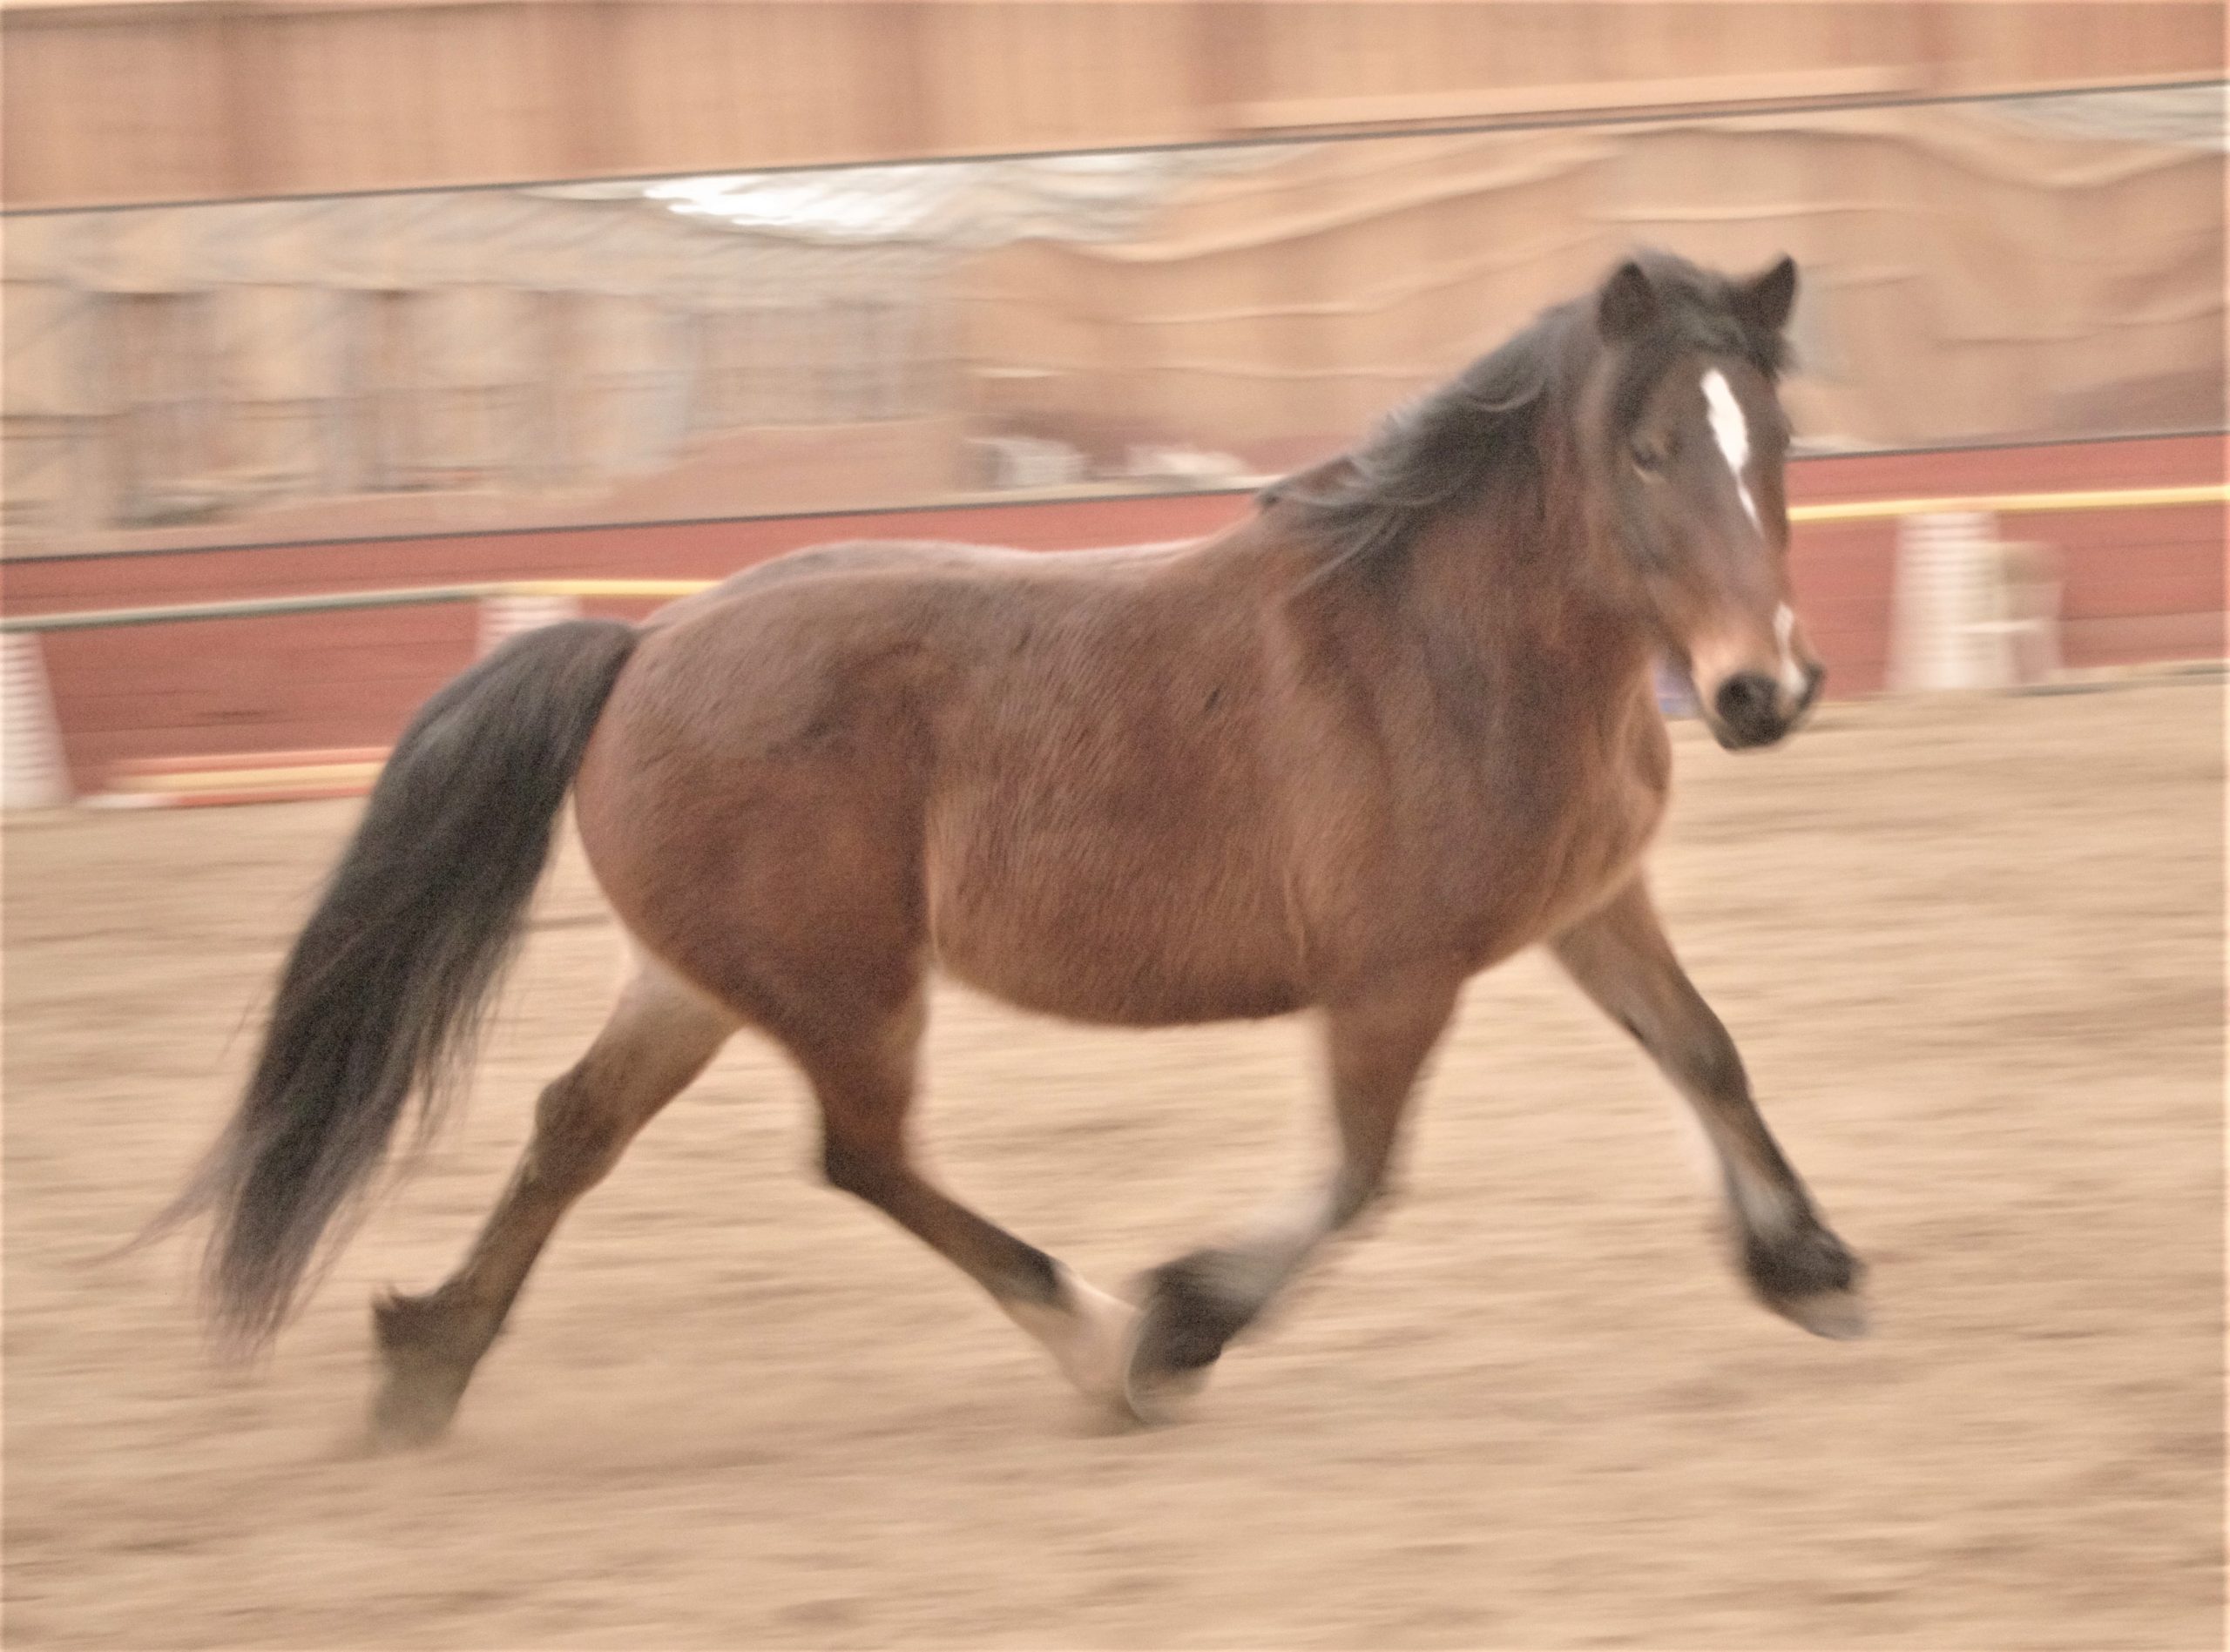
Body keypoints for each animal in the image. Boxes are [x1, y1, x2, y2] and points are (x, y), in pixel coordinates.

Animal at [165, 249, 1866, 1449]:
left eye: (1773, 435)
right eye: (1647, 448)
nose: (1762, 691)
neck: (1448, 646)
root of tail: (642, 648)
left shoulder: (1594, 907)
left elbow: (1705, 1053)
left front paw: (1814, 1267)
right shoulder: (1395, 976)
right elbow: (1364, 1172)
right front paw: (1183, 1323)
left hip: (700, 981)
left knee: (577, 1124)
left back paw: (423, 1363)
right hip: (844, 991)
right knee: (861, 1155)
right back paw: (1099, 1341)